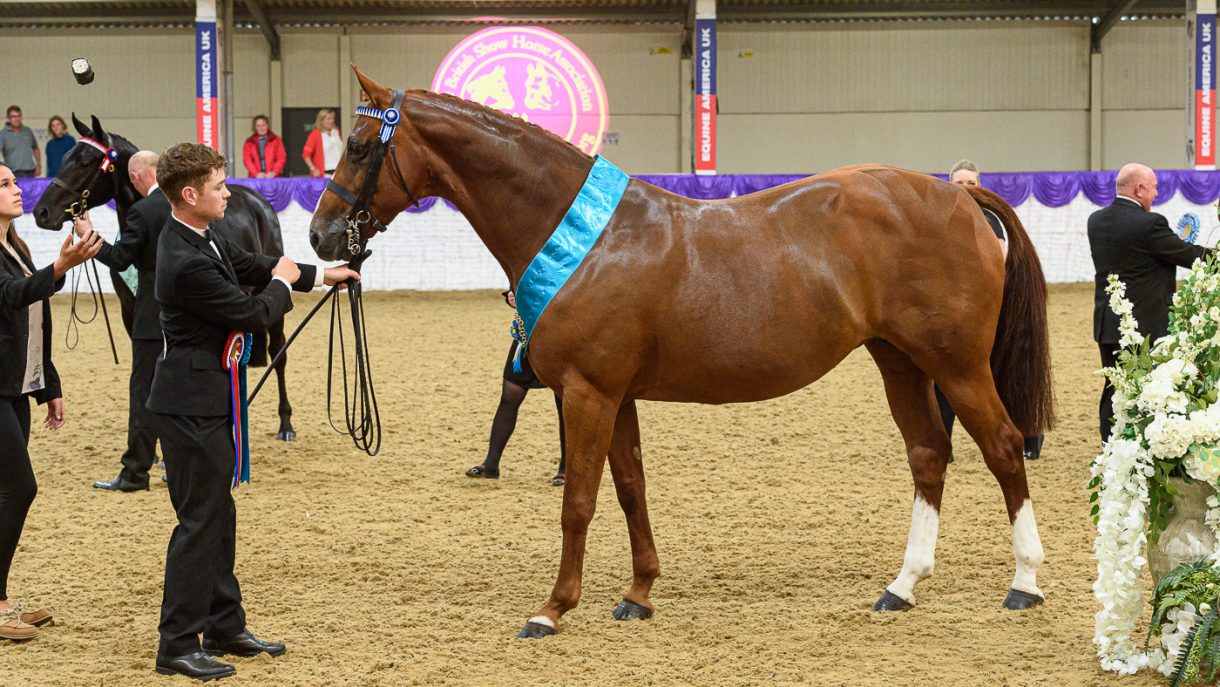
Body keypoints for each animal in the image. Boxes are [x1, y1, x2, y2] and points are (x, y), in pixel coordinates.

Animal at [32, 114, 301, 441]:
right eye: (65, 158)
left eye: (84, 162)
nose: (42, 213)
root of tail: (258, 201)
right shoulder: (130, 312)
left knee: (279, 353)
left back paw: (285, 425)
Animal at [310, 67, 1055, 638]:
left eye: (358, 145)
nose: (321, 236)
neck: (581, 234)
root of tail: (958, 195)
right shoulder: (617, 394)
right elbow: (630, 488)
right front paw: (637, 594)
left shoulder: (588, 392)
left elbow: (579, 499)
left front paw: (552, 608)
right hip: (899, 359)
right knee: (929, 454)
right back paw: (901, 586)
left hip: (956, 365)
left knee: (1002, 446)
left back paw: (1024, 582)